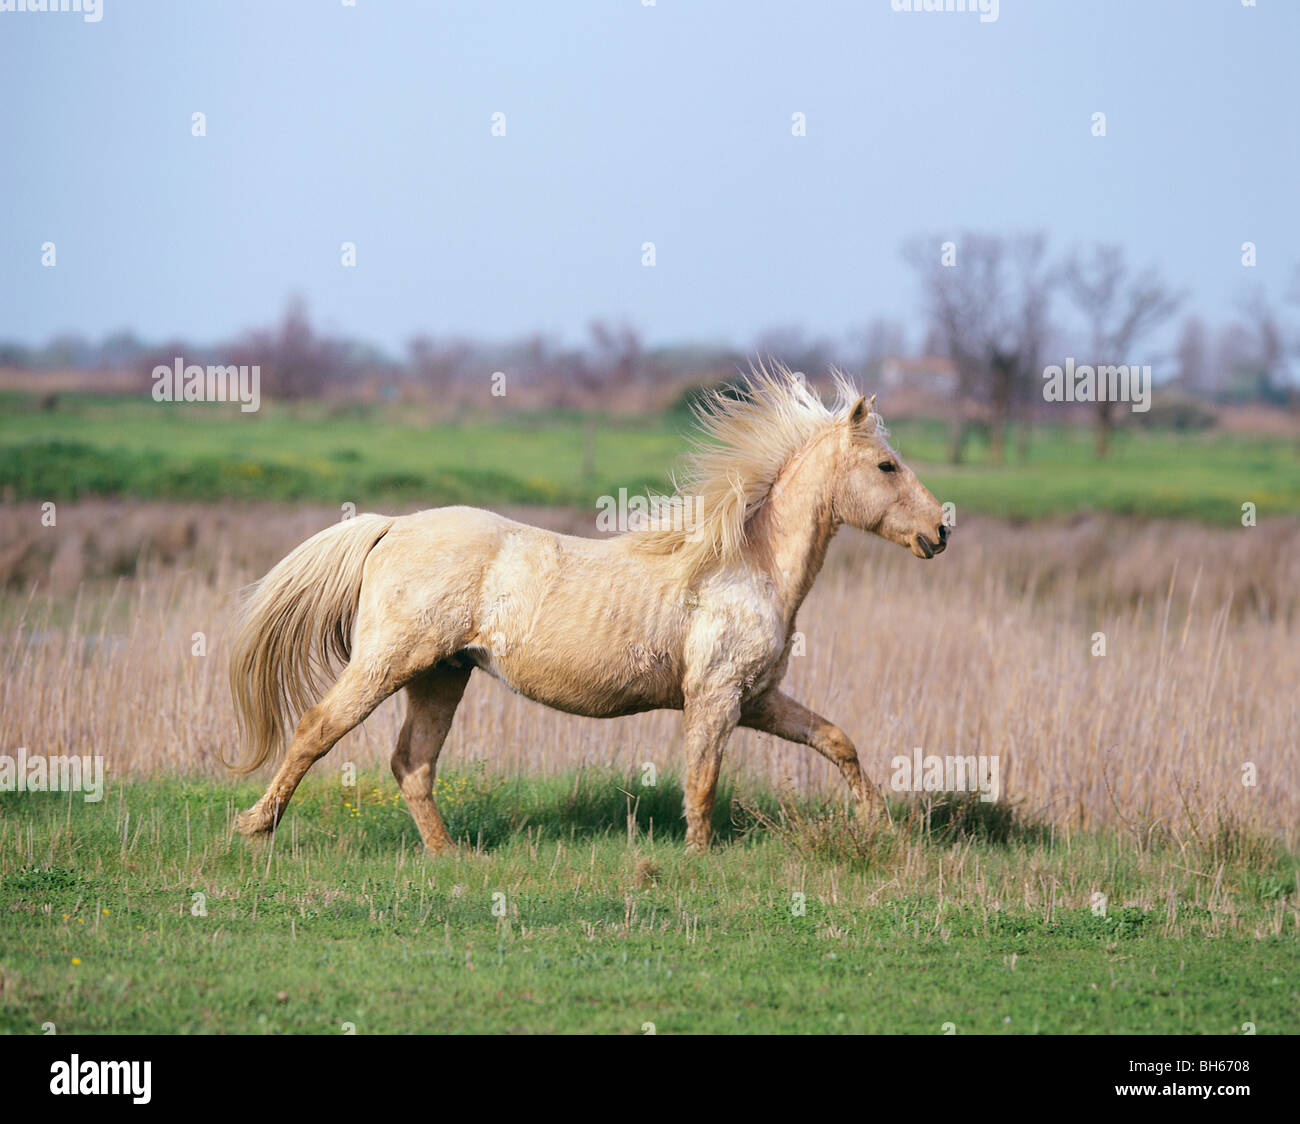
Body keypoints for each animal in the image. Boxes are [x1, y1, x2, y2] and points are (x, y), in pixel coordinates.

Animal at [228, 366, 950, 851]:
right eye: (887, 466)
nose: (940, 532)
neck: (750, 567)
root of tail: (392, 526)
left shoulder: (757, 698)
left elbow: (836, 740)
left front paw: (881, 826)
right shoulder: (715, 697)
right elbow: (703, 779)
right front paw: (699, 859)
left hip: (442, 674)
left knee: (412, 764)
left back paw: (450, 856)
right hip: (389, 662)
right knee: (317, 729)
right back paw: (254, 828)